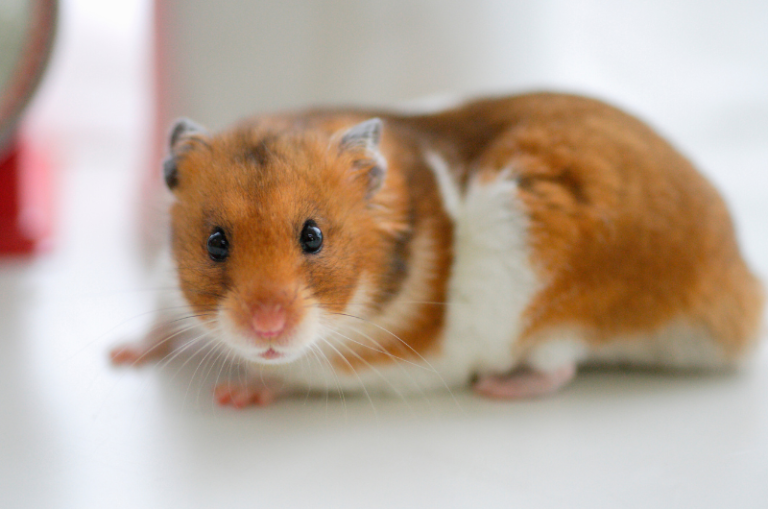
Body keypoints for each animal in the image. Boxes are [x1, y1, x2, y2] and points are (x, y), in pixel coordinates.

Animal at [111, 92, 764, 407]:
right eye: (215, 242)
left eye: (313, 236)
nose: (266, 327)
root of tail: (739, 283)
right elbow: (160, 316)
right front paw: (119, 357)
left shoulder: (384, 365)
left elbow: (299, 375)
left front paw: (235, 393)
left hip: (555, 303)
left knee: (558, 366)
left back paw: (499, 389)